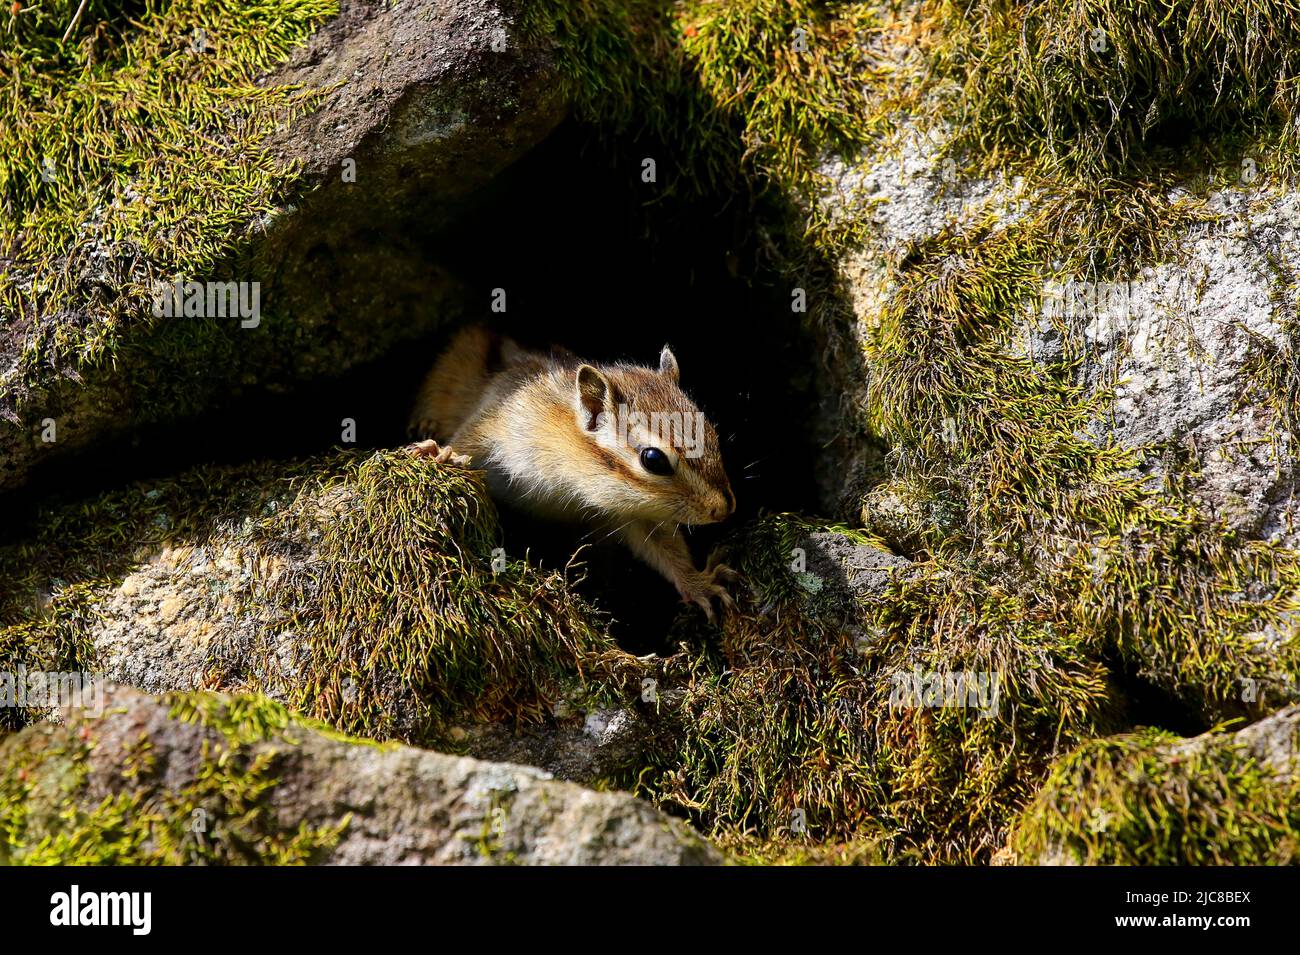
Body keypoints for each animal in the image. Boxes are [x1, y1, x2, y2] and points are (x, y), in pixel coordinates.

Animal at [406, 326, 738, 620]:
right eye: (653, 459)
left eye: (711, 432)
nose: (723, 508)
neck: (575, 480)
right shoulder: (504, 415)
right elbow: (470, 435)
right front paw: (444, 452)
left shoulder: (632, 513)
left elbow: (664, 549)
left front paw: (697, 582)